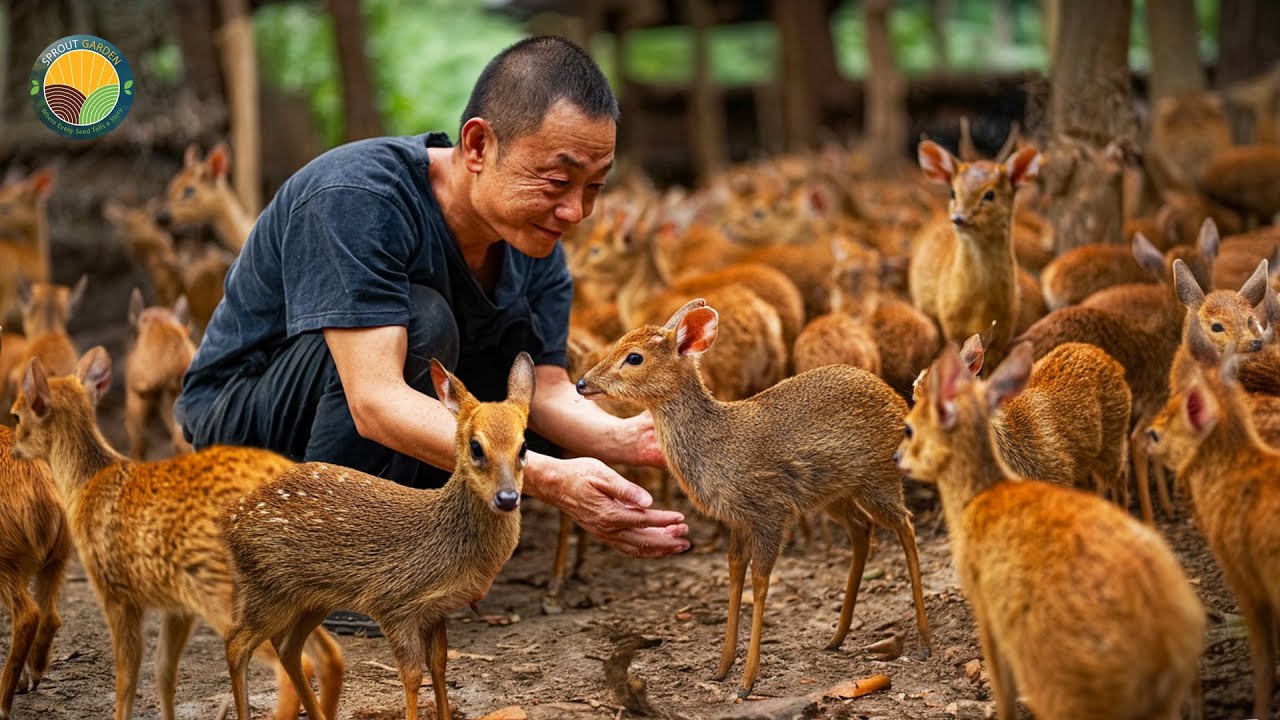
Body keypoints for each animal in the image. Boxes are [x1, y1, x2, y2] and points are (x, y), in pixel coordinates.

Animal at [9, 349, 344, 720]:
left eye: (16, 413)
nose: (13, 449)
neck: (87, 484)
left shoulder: (116, 594)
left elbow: (126, 679)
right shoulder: (177, 606)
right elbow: (164, 672)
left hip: (227, 591)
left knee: (292, 660)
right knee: (326, 655)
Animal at [221, 353, 535, 720]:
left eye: (524, 448)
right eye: (476, 447)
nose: (507, 497)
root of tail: (227, 521)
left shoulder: (435, 609)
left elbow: (439, 665)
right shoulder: (393, 602)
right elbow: (412, 675)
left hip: (311, 597)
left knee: (287, 648)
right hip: (268, 588)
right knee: (236, 642)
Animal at [577, 299, 930, 698]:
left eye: (634, 357)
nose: (582, 383)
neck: (718, 445)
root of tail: (900, 404)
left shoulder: (768, 511)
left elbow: (760, 582)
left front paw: (747, 680)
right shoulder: (737, 518)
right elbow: (734, 572)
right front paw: (721, 667)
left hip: (878, 478)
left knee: (906, 527)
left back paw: (924, 639)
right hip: (835, 493)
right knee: (862, 529)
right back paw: (838, 635)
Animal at [909, 140, 1041, 366]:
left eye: (989, 194)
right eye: (953, 192)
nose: (959, 218)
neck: (979, 306)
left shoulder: (1005, 327)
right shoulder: (950, 321)